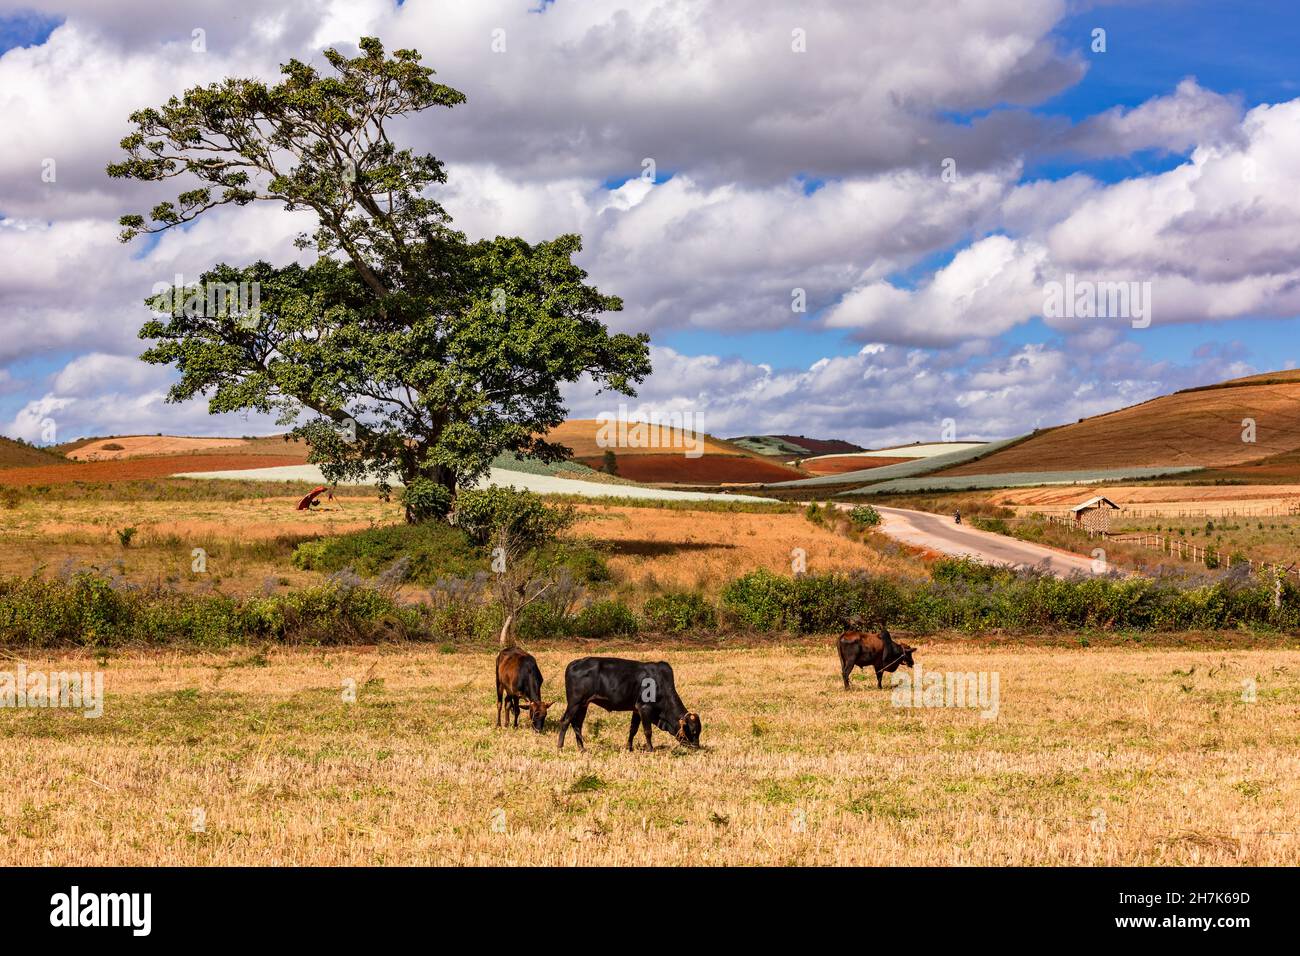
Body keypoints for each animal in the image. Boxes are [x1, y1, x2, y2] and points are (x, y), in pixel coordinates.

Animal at [557, 657, 702, 753]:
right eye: (693, 731)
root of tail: (574, 663)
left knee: (577, 725)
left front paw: (629, 748)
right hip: (574, 703)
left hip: (583, 705)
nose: (696, 747)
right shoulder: (645, 708)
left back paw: (582, 749)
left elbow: (633, 730)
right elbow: (647, 731)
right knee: (565, 721)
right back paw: (560, 747)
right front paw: (650, 749)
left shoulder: (636, 710)